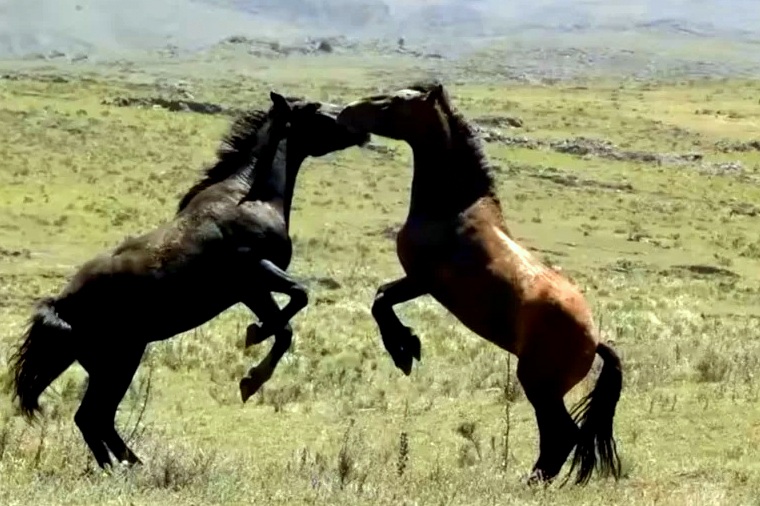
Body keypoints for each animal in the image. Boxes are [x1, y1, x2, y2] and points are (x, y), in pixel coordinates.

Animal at [8, 91, 370, 470]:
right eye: (314, 110)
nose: (360, 124)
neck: (249, 196)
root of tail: (61, 306)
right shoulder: (257, 271)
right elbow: (299, 296)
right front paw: (253, 349)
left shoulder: (250, 290)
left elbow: (284, 329)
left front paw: (251, 373)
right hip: (119, 361)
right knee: (92, 417)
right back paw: (125, 469)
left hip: (103, 364)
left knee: (95, 418)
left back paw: (130, 464)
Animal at [336, 83, 623, 486]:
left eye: (394, 102)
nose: (346, 112)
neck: (454, 210)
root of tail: (594, 341)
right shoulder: (417, 281)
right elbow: (380, 298)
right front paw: (407, 347)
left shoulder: (422, 281)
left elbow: (381, 301)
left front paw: (405, 350)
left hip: (539, 385)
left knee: (561, 434)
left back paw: (531, 481)